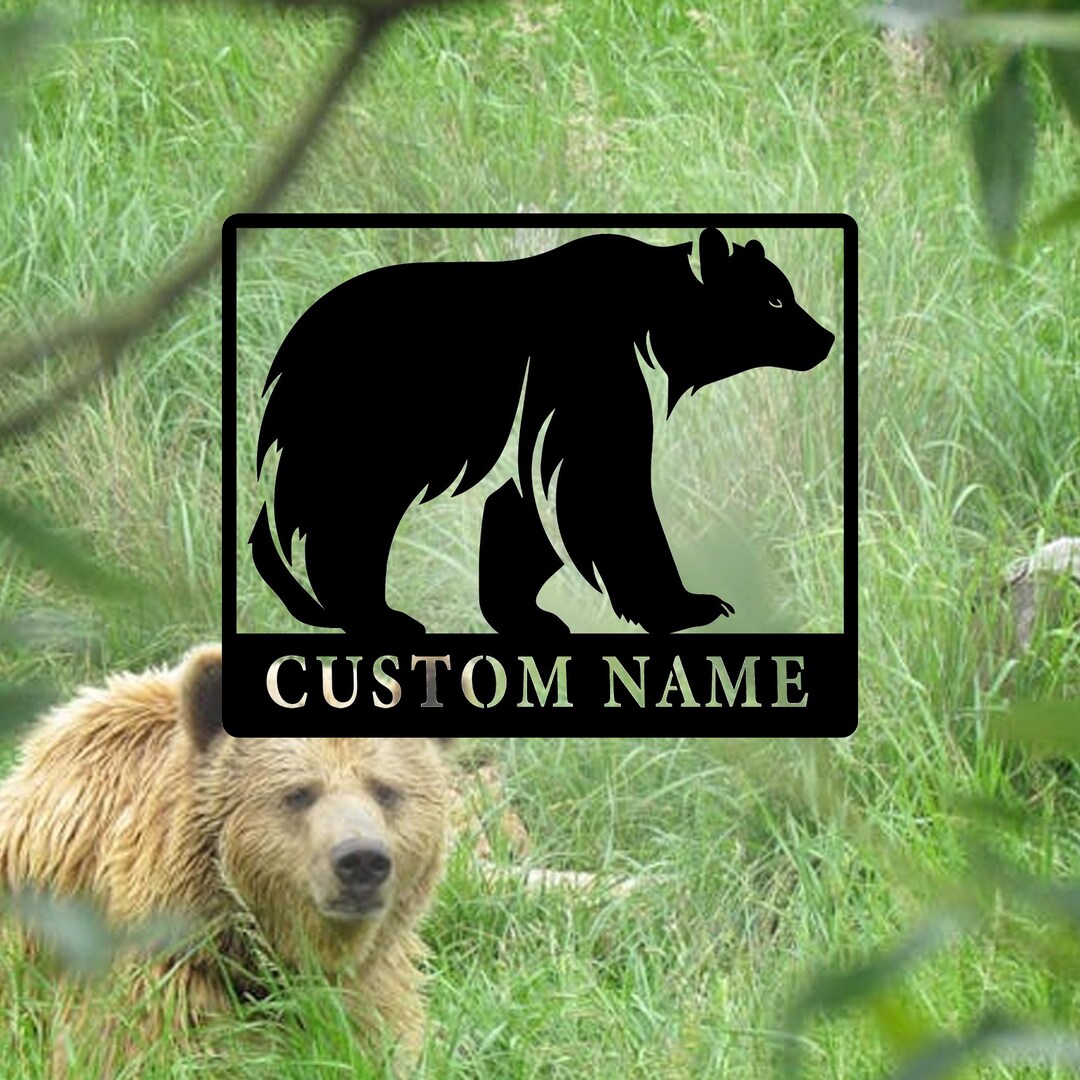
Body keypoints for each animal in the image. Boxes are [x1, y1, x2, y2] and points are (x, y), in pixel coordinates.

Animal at [250, 226, 834, 637]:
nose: (827, 338)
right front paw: (688, 605)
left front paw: (526, 614)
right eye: (775, 299)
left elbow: (519, 513)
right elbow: (603, 498)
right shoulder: (587, 376)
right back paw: (379, 617)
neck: (650, 324)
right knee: (347, 523)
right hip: (376, 431)